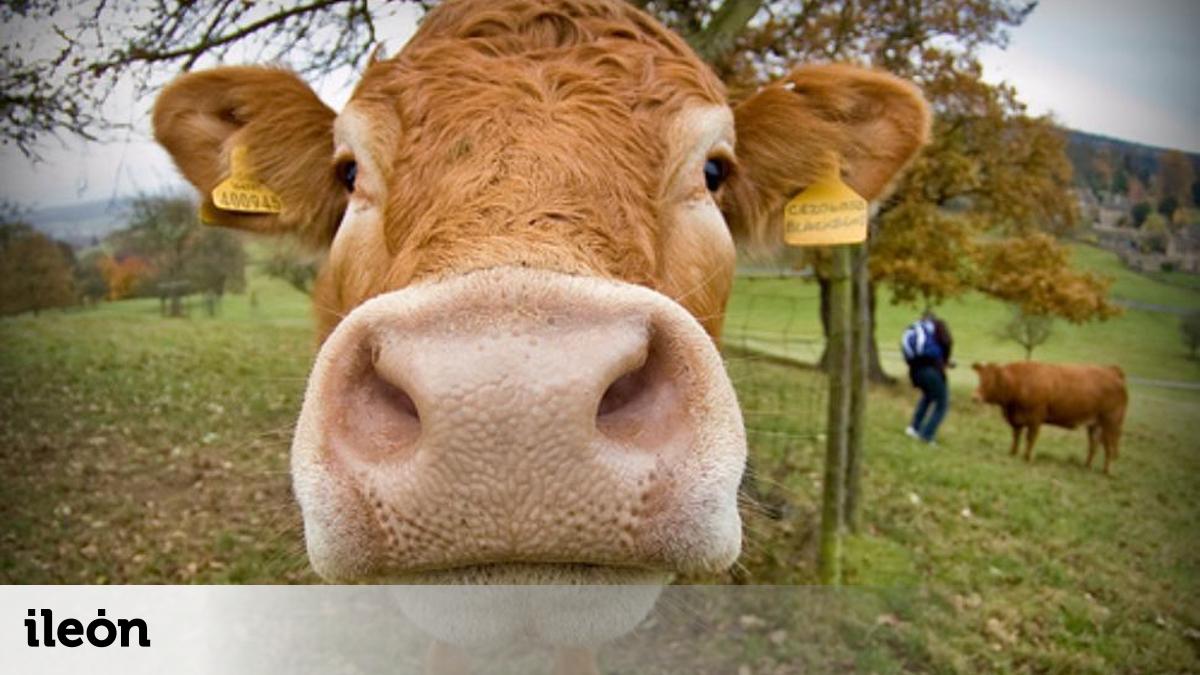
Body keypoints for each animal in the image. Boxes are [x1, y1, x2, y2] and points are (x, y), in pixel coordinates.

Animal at [972, 361, 1128, 474]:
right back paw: (1086, 466)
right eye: (980, 378)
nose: (975, 397)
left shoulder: (1035, 418)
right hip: (1095, 424)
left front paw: (1027, 457)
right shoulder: (1017, 420)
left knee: (1110, 446)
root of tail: (1111, 370)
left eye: (992, 381)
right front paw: (1012, 453)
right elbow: (1016, 437)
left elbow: (1030, 438)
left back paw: (1106, 472)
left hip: (1111, 422)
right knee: (1094, 445)